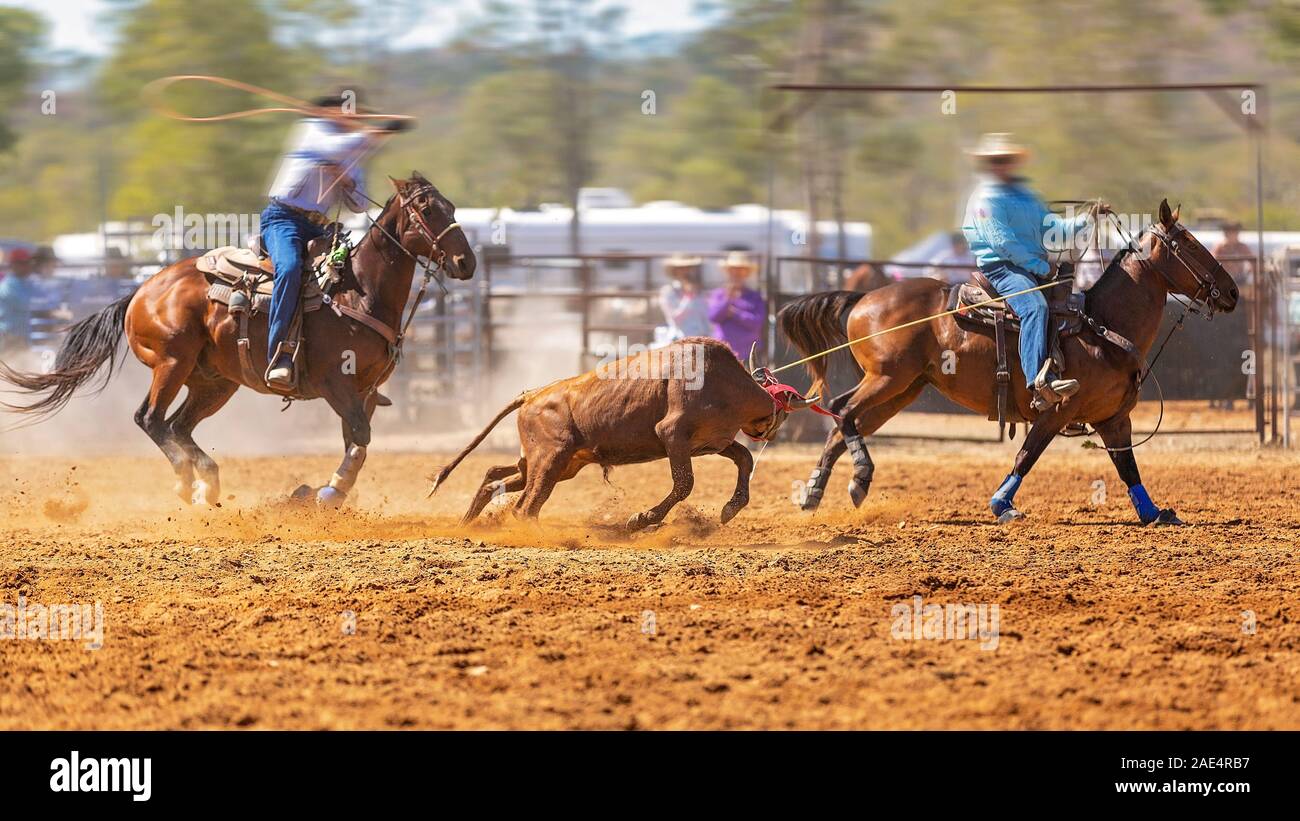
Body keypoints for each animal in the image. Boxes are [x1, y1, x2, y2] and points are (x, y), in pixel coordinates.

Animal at [428, 337, 819, 530]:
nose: (768, 432)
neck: (725, 384)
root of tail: (533, 394)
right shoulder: (673, 435)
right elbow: (684, 484)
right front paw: (642, 520)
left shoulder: (711, 443)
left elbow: (744, 458)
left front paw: (730, 509)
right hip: (551, 458)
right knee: (525, 507)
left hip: (559, 464)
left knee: (496, 476)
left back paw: (466, 525)